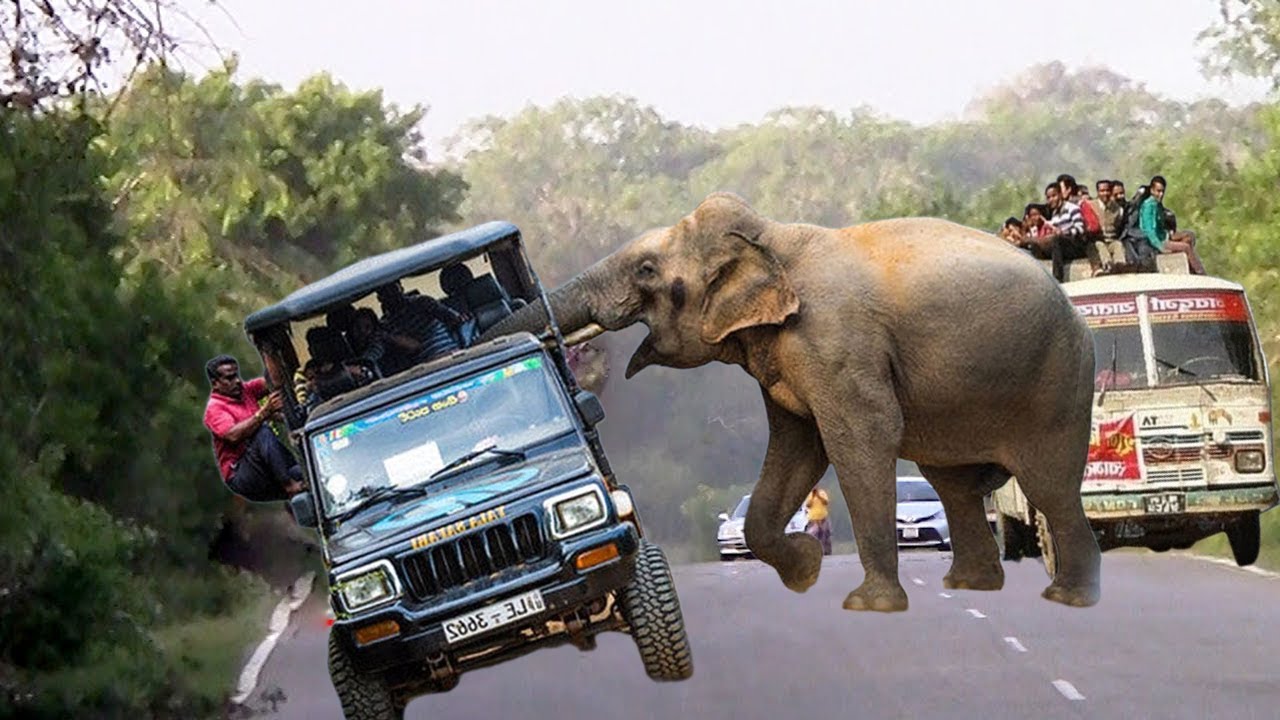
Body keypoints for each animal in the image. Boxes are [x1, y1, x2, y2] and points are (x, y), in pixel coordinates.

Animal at [482, 192, 1101, 612]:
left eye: (647, 270)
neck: (772, 244)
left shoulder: (834, 342)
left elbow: (859, 437)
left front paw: (867, 605)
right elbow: (796, 447)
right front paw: (804, 570)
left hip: (1057, 378)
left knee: (1047, 485)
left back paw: (1068, 599)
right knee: (952, 483)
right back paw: (970, 586)